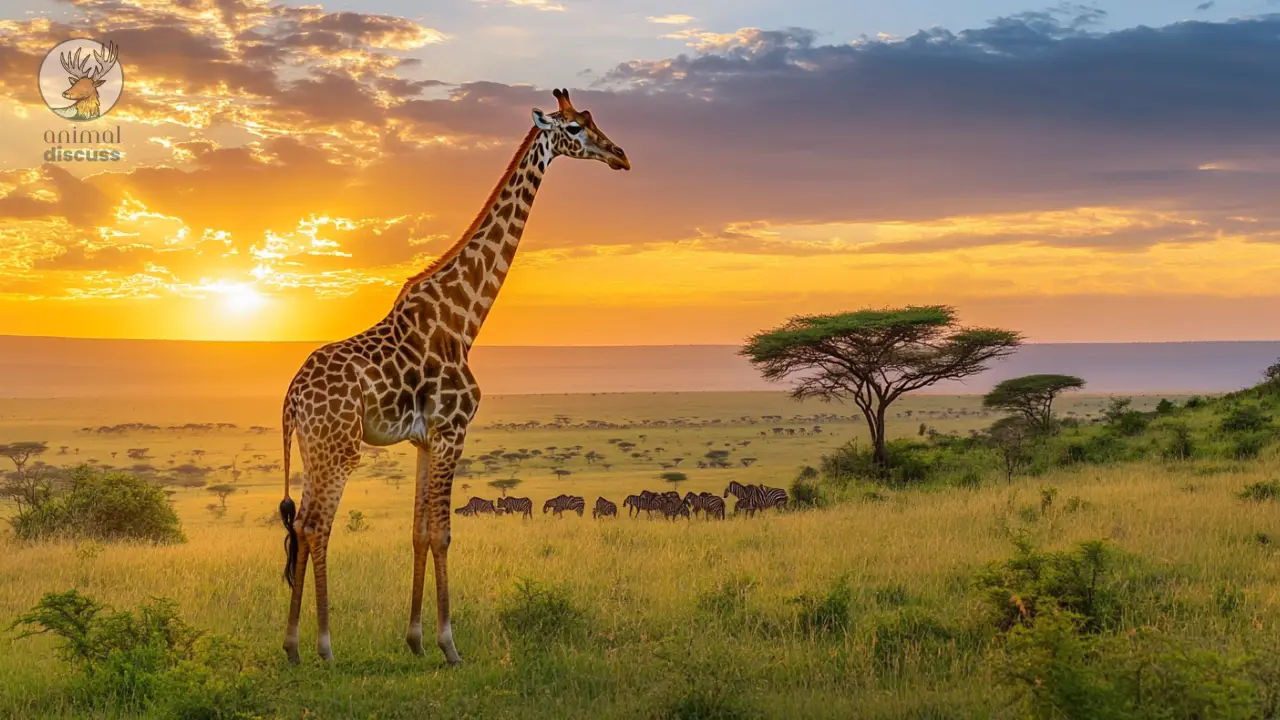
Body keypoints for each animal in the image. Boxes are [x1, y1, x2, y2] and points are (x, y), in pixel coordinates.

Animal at [277, 88, 629, 665]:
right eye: (575, 128)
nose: (620, 155)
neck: (464, 318)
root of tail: (289, 401)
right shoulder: (452, 430)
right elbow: (443, 534)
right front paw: (449, 644)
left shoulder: (425, 439)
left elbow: (419, 533)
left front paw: (416, 640)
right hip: (339, 448)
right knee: (316, 526)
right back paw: (323, 647)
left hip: (313, 447)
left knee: (301, 527)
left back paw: (293, 646)